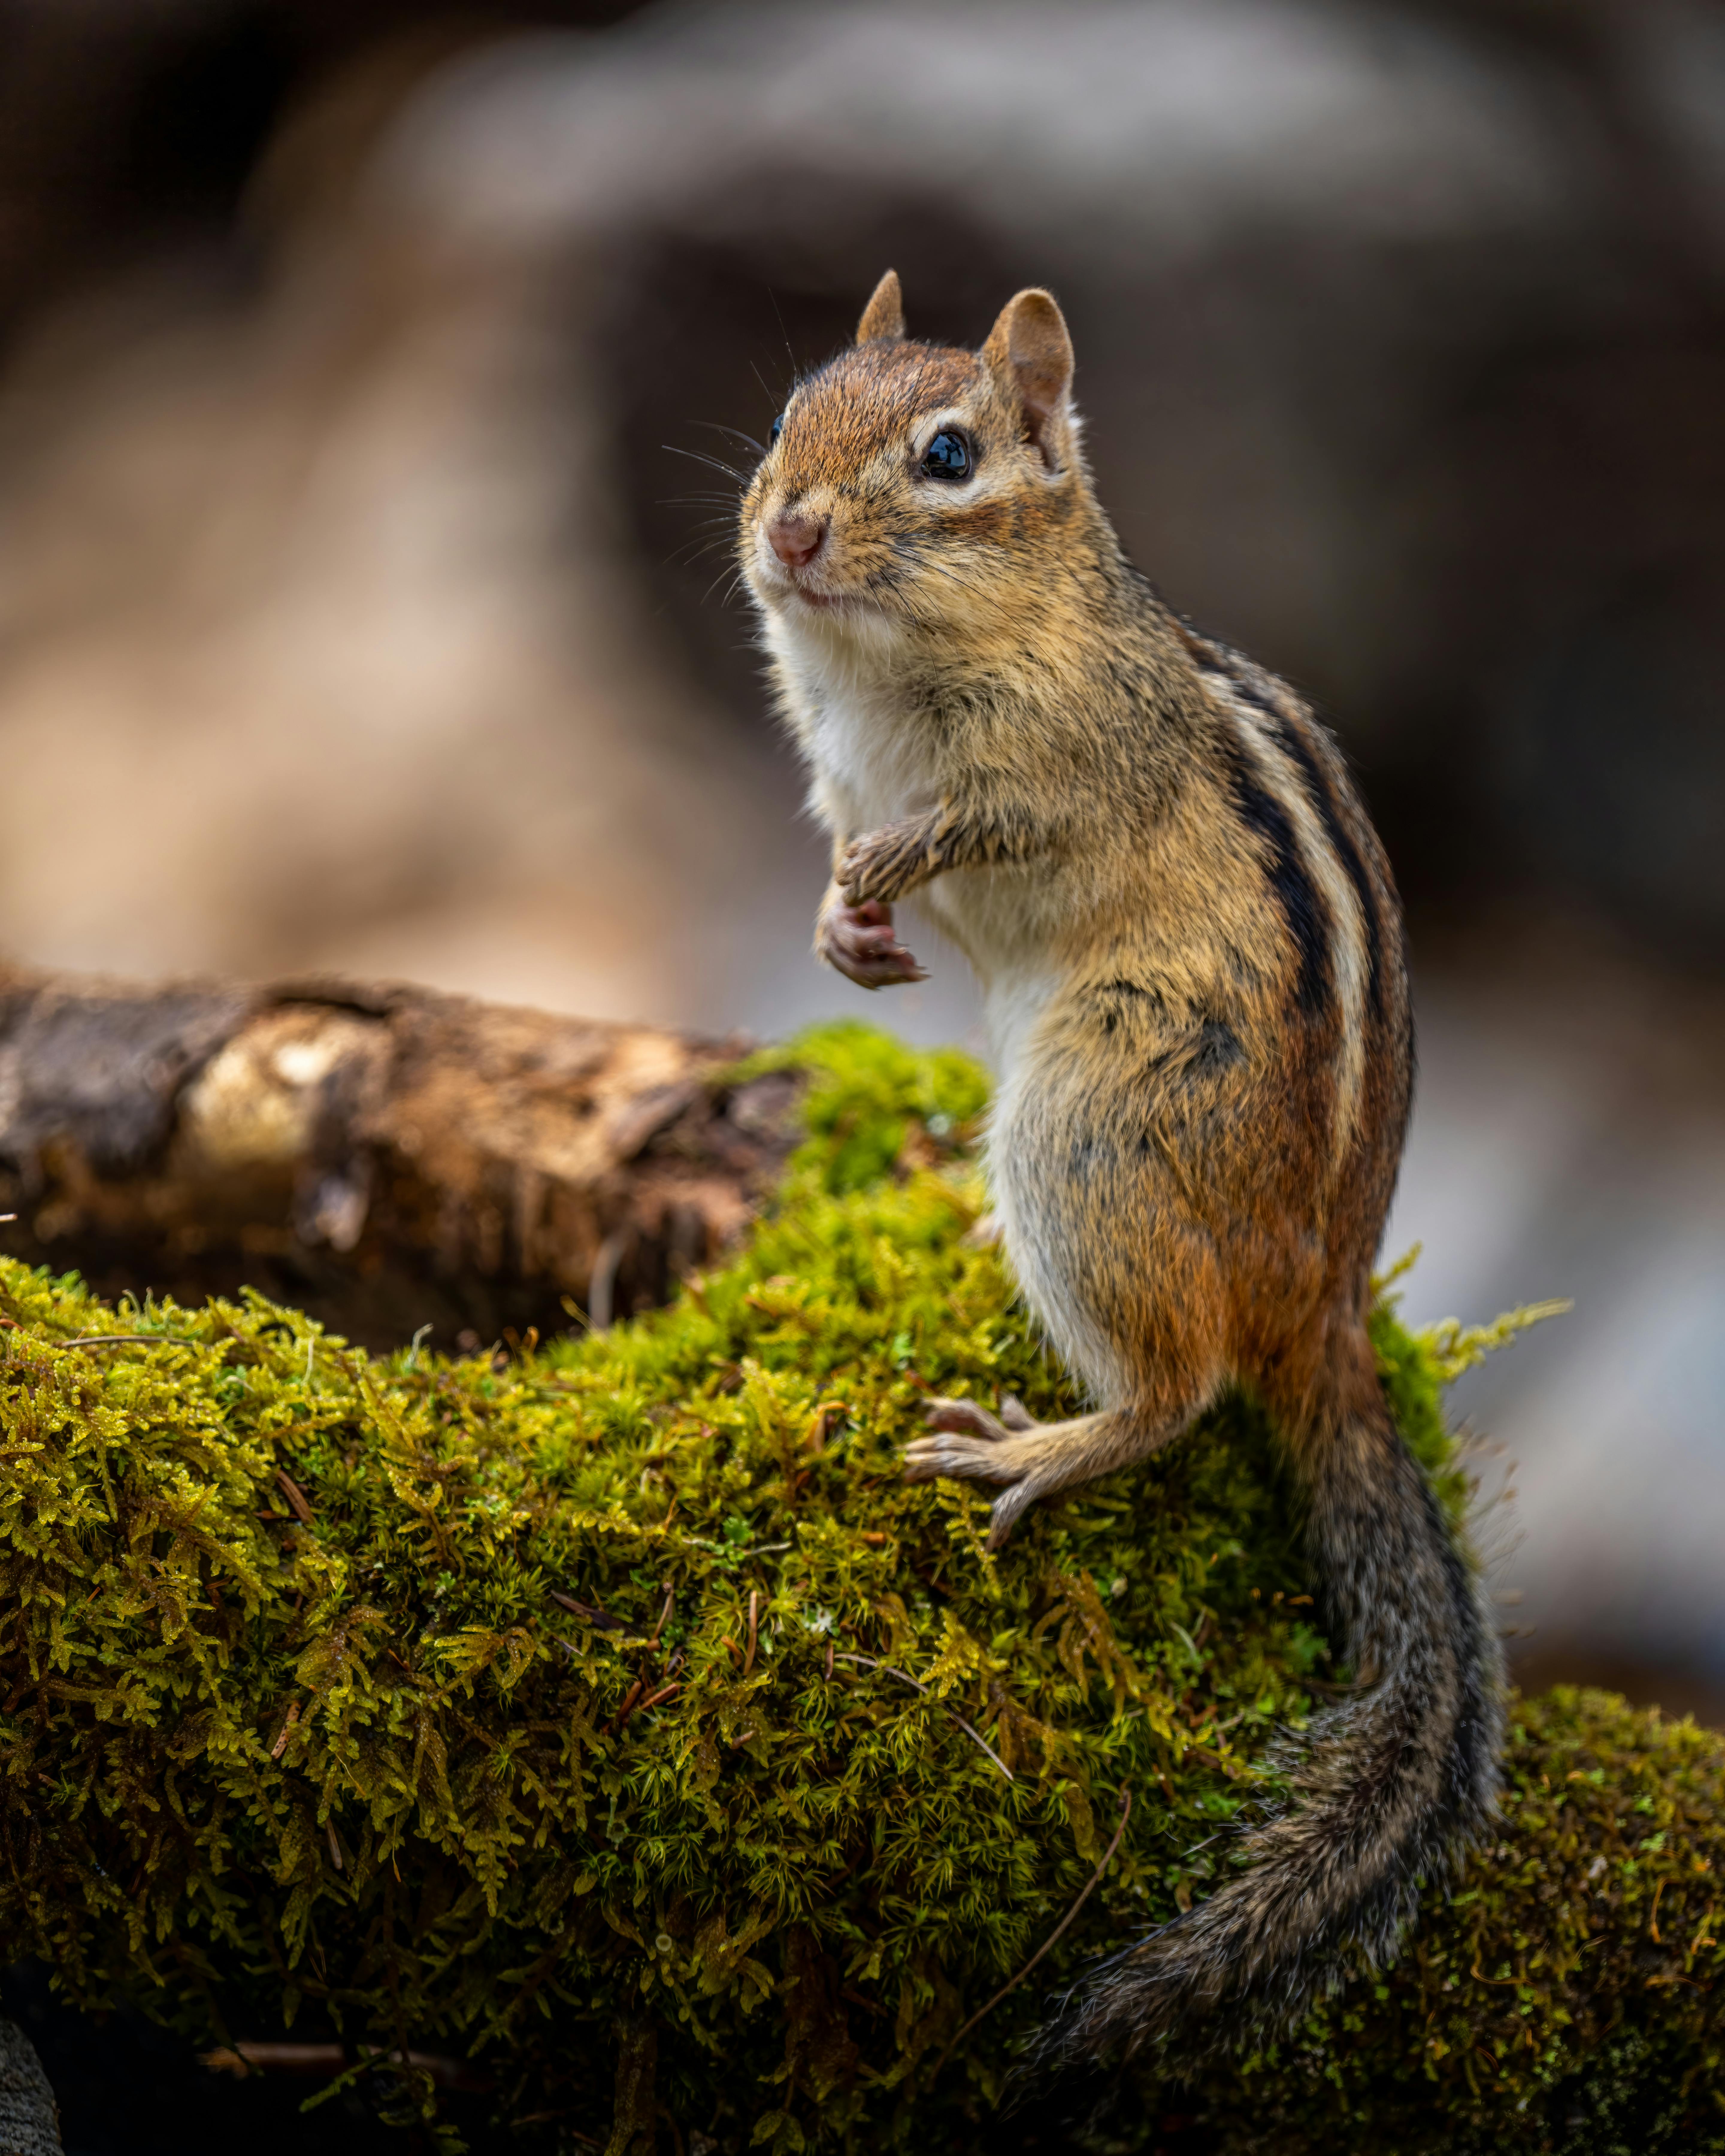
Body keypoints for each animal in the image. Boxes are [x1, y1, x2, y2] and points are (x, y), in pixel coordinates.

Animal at [737, 270, 1503, 2063]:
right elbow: (843, 855)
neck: (886, 669)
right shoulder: (833, 764)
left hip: (1087, 1129)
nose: (786, 530)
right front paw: (840, 923)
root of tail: (1325, 1298)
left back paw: (1039, 1448)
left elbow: (997, 817)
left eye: (949, 456)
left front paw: (908, 854)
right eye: (790, 413)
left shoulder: (1078, 756)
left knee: (1185, 1393)